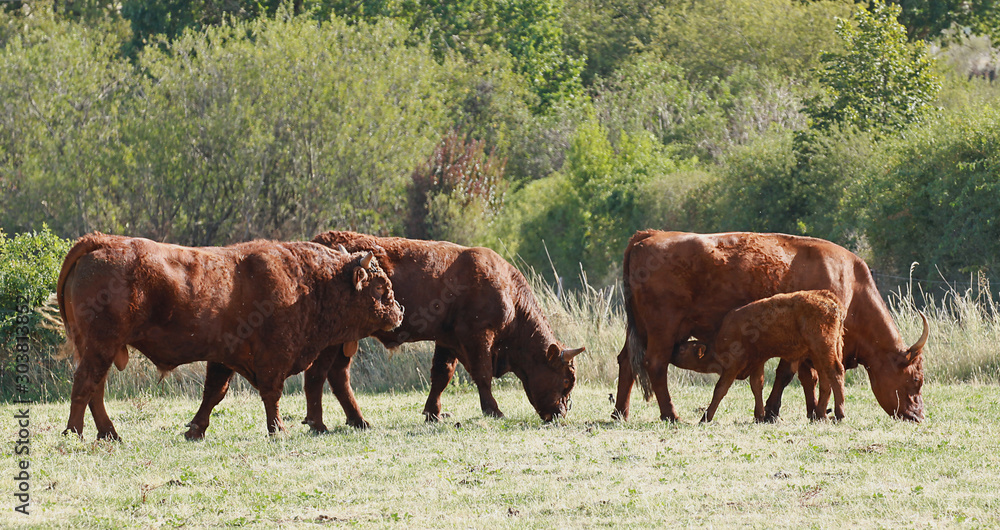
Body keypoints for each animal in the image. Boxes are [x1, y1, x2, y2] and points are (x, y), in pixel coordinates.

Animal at [57, 232, 404, 440]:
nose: (399, 312)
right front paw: (277, 430)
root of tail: (101, 241)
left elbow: (213, 393)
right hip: (100, 346)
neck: (309, 281)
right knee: (85, 384)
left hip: (101, 348)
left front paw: (195, 430)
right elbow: (271, 394)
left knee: (95, 388)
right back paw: (74, 433)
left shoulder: (222, 359)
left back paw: (109, 434)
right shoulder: (273, 359)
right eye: (380, 287)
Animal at [198, 230, 582, 430]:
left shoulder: (447, 340)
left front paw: (432, 413)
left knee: (333, 376)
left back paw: (353, 421)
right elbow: (483, 375)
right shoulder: (477, 337)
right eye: (565, 380)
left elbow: (441, 376)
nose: (560, 414)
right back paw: (325, 422)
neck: (505, 289)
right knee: (323, 376)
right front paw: (493, 410)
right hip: (336, 341)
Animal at [672, 290, 850, 423]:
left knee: (835, 372)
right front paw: (759, 415)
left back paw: (839, 414)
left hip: (823, 349)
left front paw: (705, 418)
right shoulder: (757, 362)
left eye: (683, 349)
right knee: (826, 378)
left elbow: (720, 389)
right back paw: (821, 414)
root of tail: (827, 297)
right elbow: (757, 385)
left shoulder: (732, 366)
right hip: (822, 352)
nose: (672, 350)